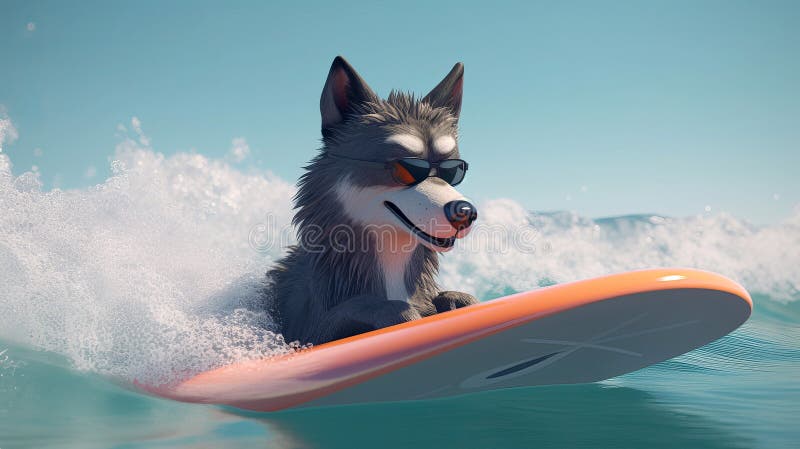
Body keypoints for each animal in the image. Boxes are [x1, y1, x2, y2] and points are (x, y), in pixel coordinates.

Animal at [268, 56, 479, 345]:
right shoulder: (309, 328)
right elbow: (356, 308)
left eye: (455, 170)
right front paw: (398, 311)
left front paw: (457, 300)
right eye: (406, 168)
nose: (465, 212)